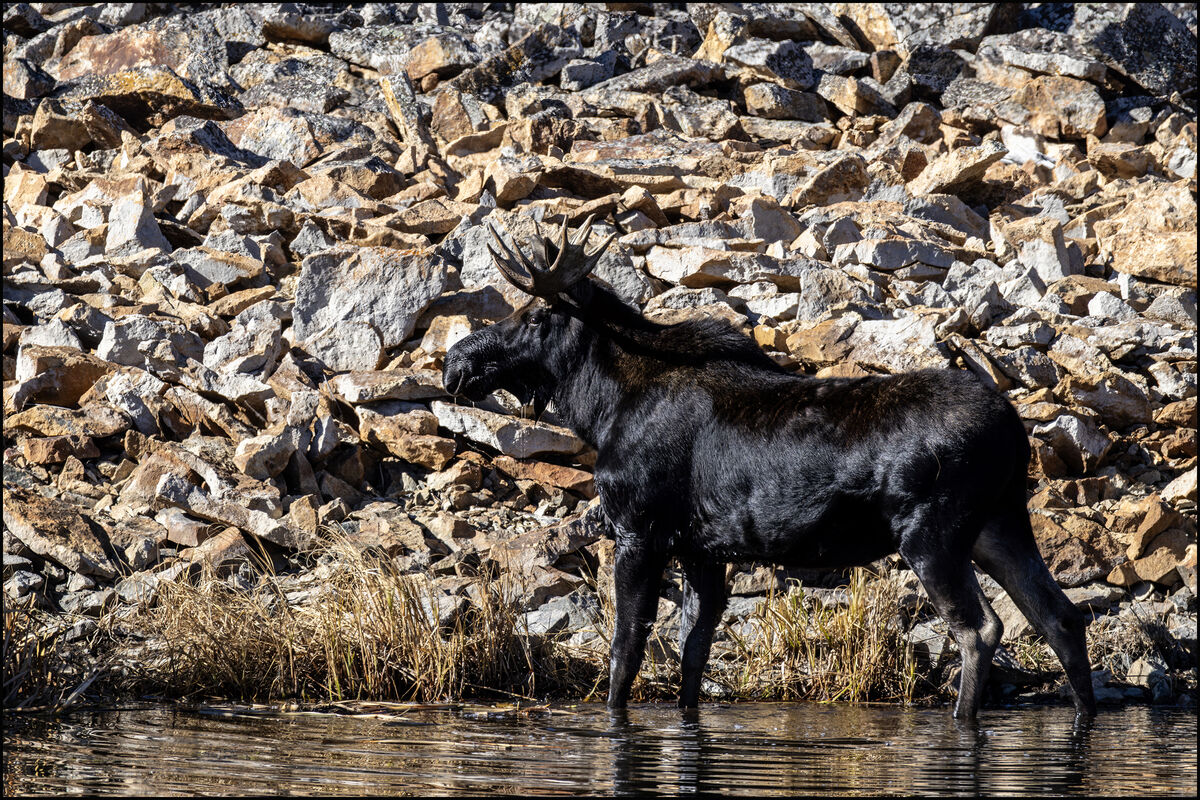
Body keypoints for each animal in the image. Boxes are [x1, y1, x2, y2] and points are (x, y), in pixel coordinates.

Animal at [441, 217, 1097, 720]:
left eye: (533, 315)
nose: (455, 362)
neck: (601, 410)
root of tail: (1014, 430)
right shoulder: (703, 549)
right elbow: (693, 655)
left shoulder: (637, 529)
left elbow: (626, 649)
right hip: (999, 522)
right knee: (1061, 616)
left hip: (933, 533)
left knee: (980, 630)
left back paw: (963, 720)